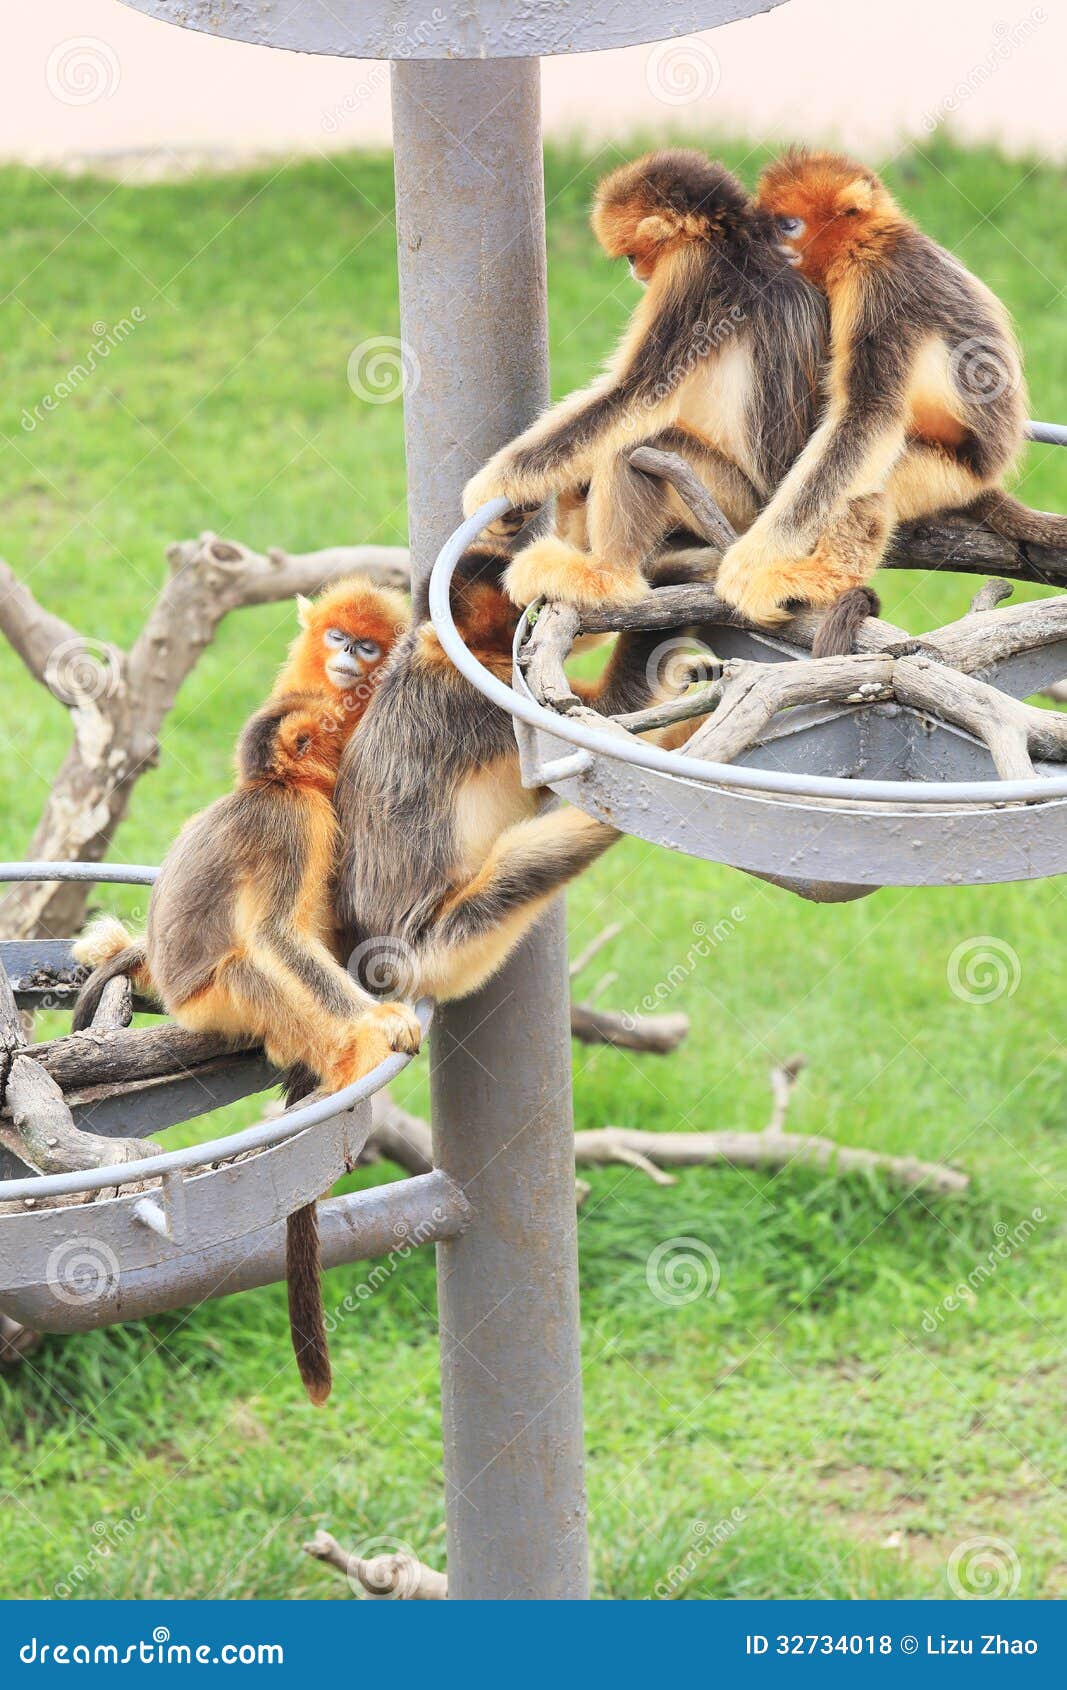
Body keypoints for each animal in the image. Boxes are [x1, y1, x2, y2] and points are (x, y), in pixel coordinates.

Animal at [460, 150, 829, 612]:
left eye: (635, 253)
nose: (635, 269)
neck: (735, 239)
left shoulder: (691, 273)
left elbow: (633, 395)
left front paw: (490, 486)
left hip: (734, 502)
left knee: (637, 444)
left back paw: (606, 577)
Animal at [713, 149, 1067, 624]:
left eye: (786, 225)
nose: (764, 245)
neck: (865, 246)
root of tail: (986, 474)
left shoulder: (880, 286)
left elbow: (869, 415)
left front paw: (751, 563)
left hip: (947, 475)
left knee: (872, 486)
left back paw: (823, 579)